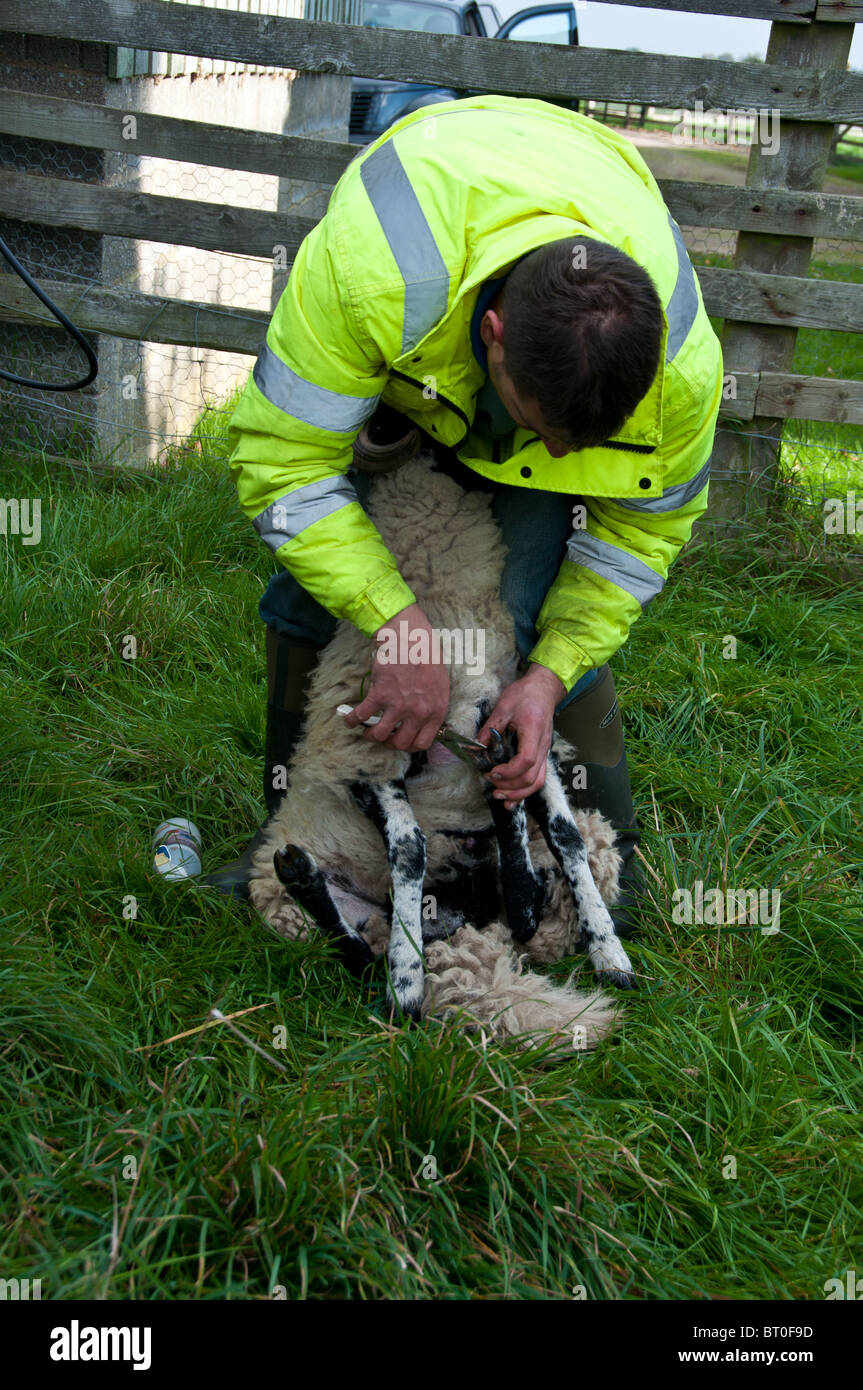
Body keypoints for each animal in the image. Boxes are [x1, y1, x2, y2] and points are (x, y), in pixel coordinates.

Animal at [247, 453, 636, 1050]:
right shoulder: (369, 754)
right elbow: (409, 849)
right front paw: (406, 986)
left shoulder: (525, 728)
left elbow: (563, 834)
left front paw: (608, 949)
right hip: (331, 901)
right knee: (356, 950)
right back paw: (312, 884)